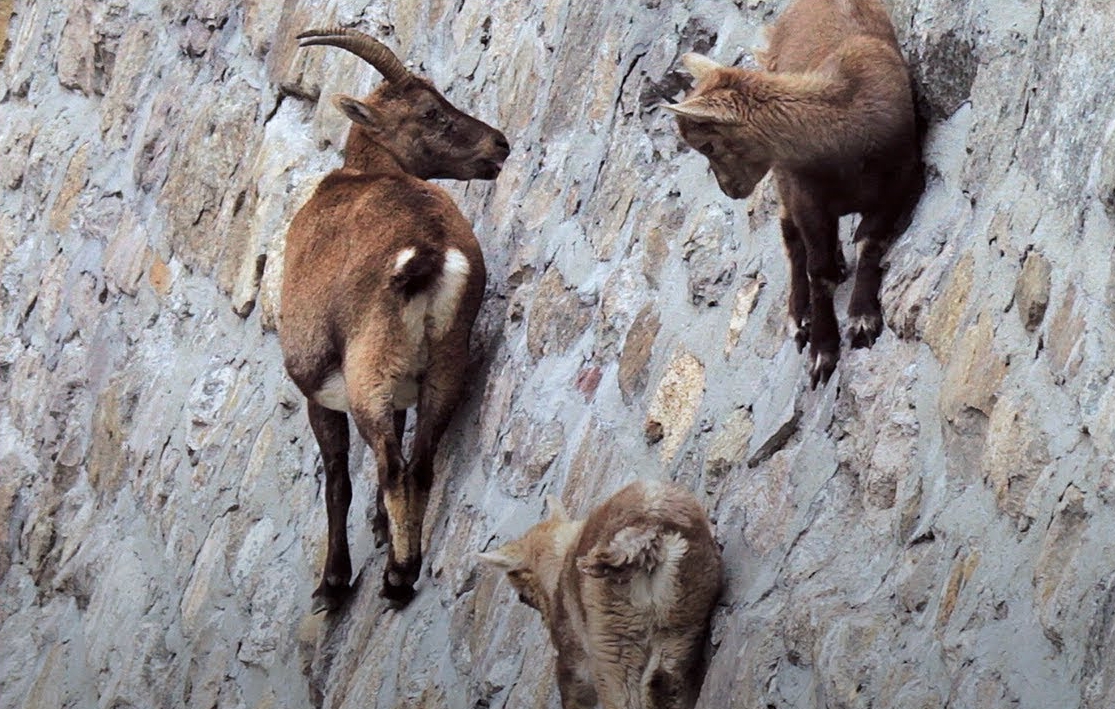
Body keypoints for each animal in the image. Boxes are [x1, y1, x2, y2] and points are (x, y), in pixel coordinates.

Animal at [279, 27, 510, 611]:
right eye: (430, 111)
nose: (499, 145)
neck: (365, 172)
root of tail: (427, 252)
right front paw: (383, 529)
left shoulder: (321, 393)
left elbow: (338, 480)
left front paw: (332, 583)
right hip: (444, 358)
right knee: (420, 460)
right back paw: (404, 564)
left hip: (370, 369)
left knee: (389, 463)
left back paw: (397, 577)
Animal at [479, 481, 723, 709]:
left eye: (522, 596)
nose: (543, 616)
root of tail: (645, 531)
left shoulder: (575, 660)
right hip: (681, 623)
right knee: (663, 683)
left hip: (615, 643)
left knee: (626, 697)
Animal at [664, 0, 923, 388]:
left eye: (707, 144)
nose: (730, 190)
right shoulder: (804, 197)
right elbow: (818, 269)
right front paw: (822, 349)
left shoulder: (902, 174)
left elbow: (869, 240)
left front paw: (862, 318)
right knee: (790, 240)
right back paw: (799, 315)